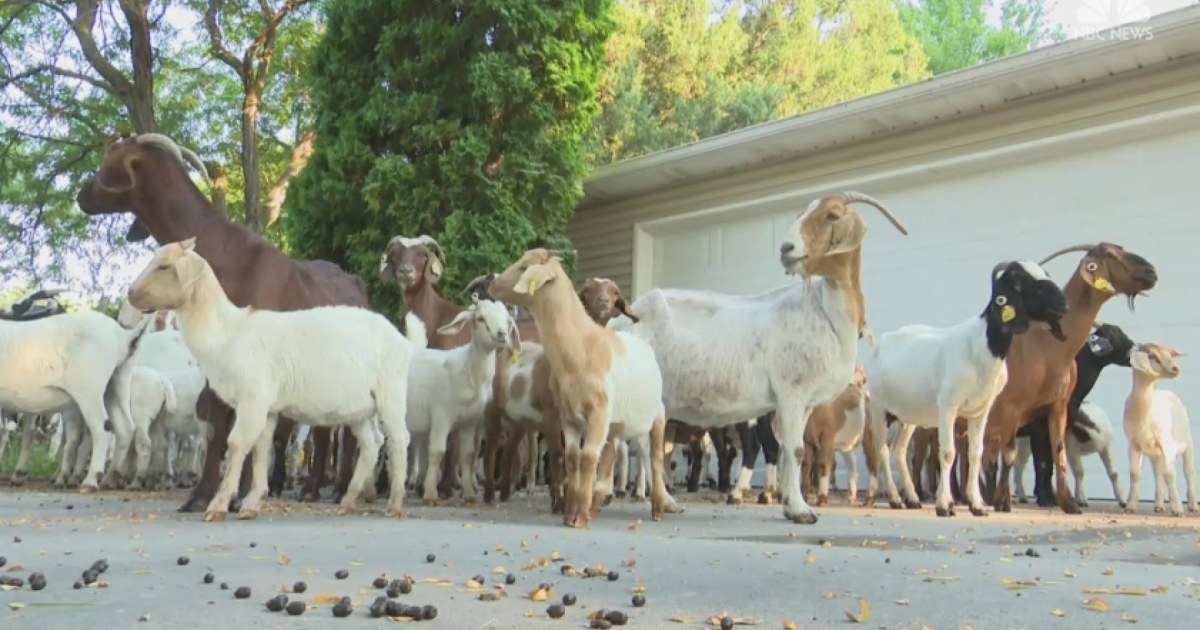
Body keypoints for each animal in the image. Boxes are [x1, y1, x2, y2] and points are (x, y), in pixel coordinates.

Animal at [126, 238, 415, 521]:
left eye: (164, 266)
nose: (130, 293)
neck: (226, 332)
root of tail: (400, 338)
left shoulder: (253, 398)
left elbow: (236, 444)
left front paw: (218, 505)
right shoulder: (267, 407)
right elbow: (260, 448)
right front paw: (252, 503)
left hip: (391, 393)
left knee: (399, 439)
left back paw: (395, 503)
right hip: (360, 408)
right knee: (372, 443)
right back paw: (348, 501)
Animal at [609, 192, 908, 523]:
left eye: (831, 215)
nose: (786, 249)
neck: (823, 311)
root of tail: (621, 321)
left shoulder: (804, 402)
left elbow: (792, 451)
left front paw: (790, 504)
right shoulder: (791, 391)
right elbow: (795, 450)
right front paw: (802, 510)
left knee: (645, 445)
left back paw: (667, 501)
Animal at [865, 260, 1068, 517]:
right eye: (1019, 281)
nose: (1063, 303)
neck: (980, 346)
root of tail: (881, 342)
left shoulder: (980, 411)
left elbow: (975, 453)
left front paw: (977, 505)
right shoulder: (948, 406)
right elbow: (947, 453)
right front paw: (944, 505)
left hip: (908, 415)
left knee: (899, 449)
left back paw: (911, 499)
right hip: (879, 407)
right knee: (881, 449)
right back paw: (895, 499)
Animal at [1122, 342, 1196, 516]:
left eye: (1170, 354)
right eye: (1152, 356)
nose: (1176, 368)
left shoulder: (1167, 443)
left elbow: (1170, 475)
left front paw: (1177, 509)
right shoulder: (1133, 444)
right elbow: (1135, 474)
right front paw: (1130, 507)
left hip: (1187, 444)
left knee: (1188, 472)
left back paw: (1192, 505)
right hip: (1155, 454)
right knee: (1158, 474)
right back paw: (1159, 505)